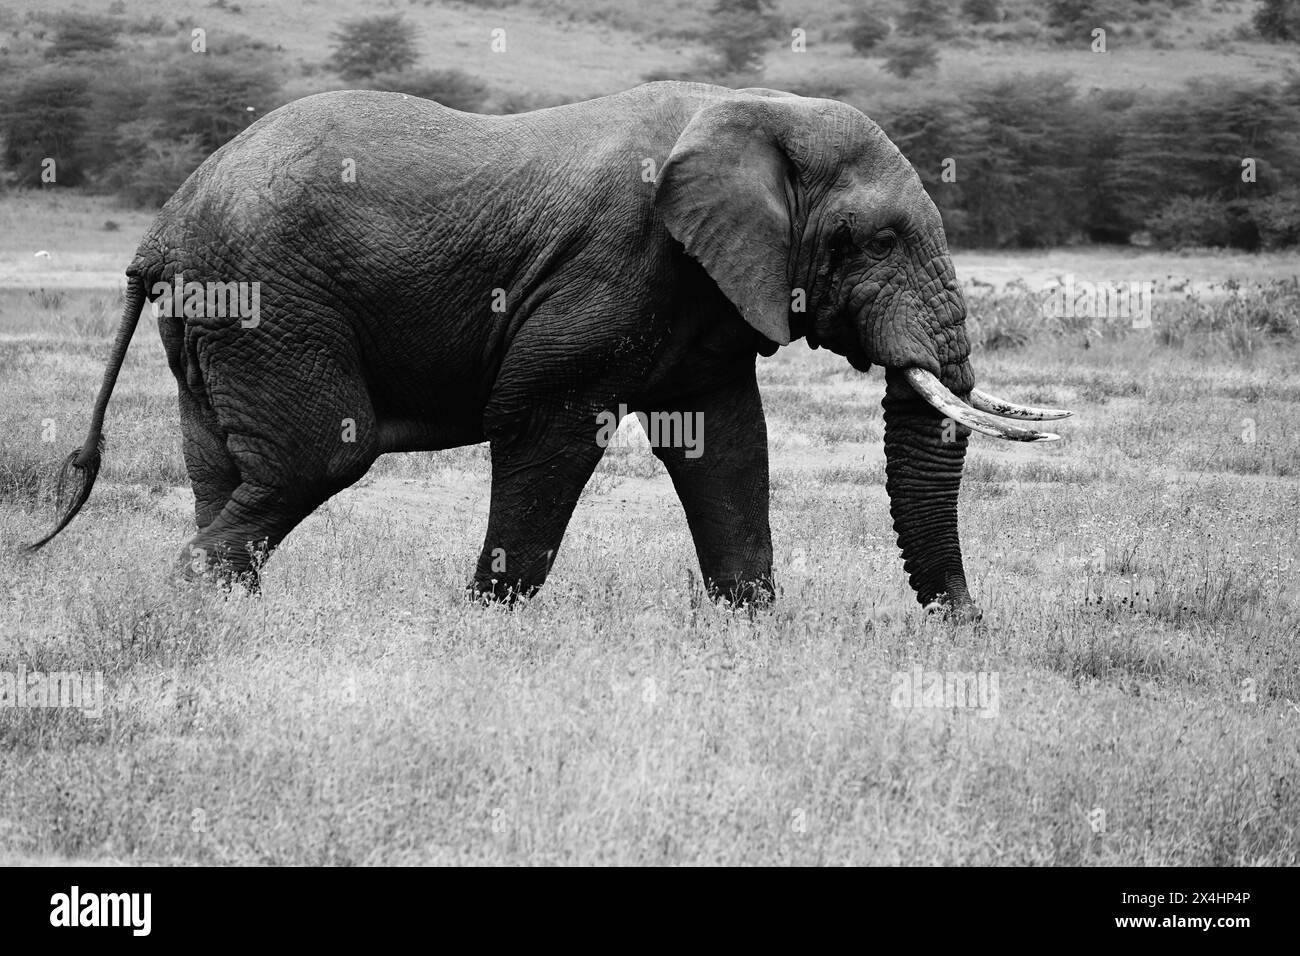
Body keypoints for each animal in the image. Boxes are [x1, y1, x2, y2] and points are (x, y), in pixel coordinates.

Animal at [30, 81, 1071, 616]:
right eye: (880, 241)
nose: (968, 626)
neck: (755, 110)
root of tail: (163, 226)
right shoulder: (619, 262)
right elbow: (549, 426)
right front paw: (488, 622)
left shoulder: (705, 292)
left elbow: (726, 442)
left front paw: (748, 625)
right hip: (266, 296)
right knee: (320, 454)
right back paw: (193, 602)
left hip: (217, 313)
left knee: (225, 464)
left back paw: (217, 615)